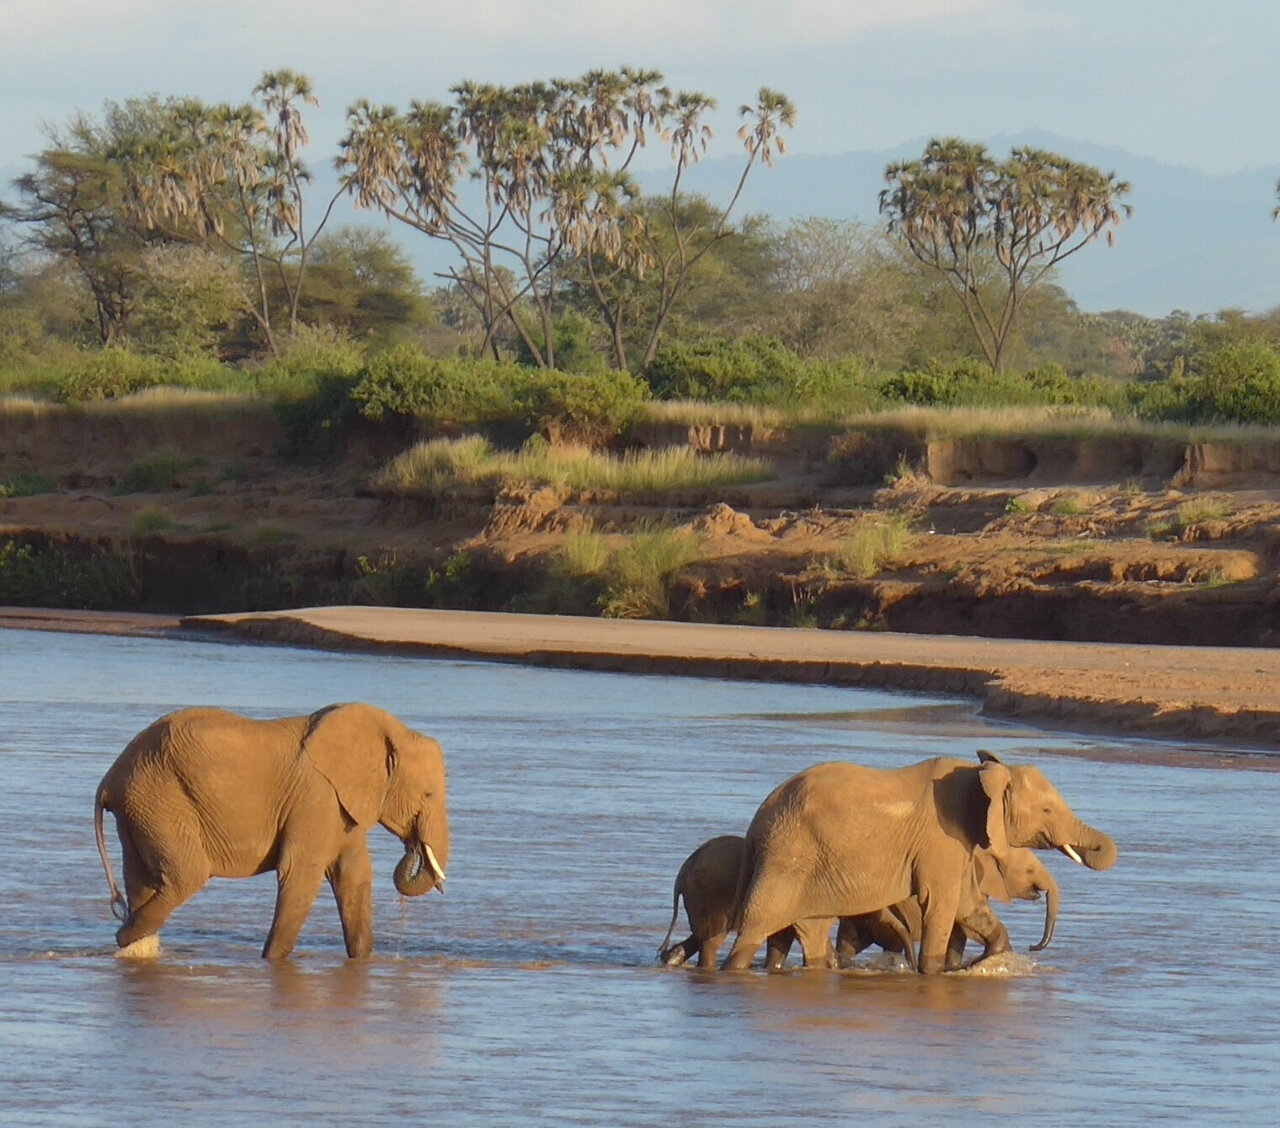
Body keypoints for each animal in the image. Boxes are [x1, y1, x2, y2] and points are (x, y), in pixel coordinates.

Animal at [94, 702, 449, 959]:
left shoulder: (341, 807)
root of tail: (109, 779)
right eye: (429, 794)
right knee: (187, 875)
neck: (390, 731)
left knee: (143, 880)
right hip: (160, 800)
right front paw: (273, 962)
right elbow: (301, 872)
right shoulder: (316, 798)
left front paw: (361, 962)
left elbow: (353, 875)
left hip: (141, 808)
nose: (413, 846)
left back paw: (132, 944)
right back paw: (125, 936)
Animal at [722, 750, 1115, 974]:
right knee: (755, 927)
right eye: (1047, 810)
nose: (1036, 947)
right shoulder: (941, 837)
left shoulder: (959, 843)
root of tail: (758, 821)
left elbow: (967, 903)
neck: (982, 774)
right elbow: (942, 902)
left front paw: (987, 961)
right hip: (789, 857)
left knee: (805, 931)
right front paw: (937, 972)